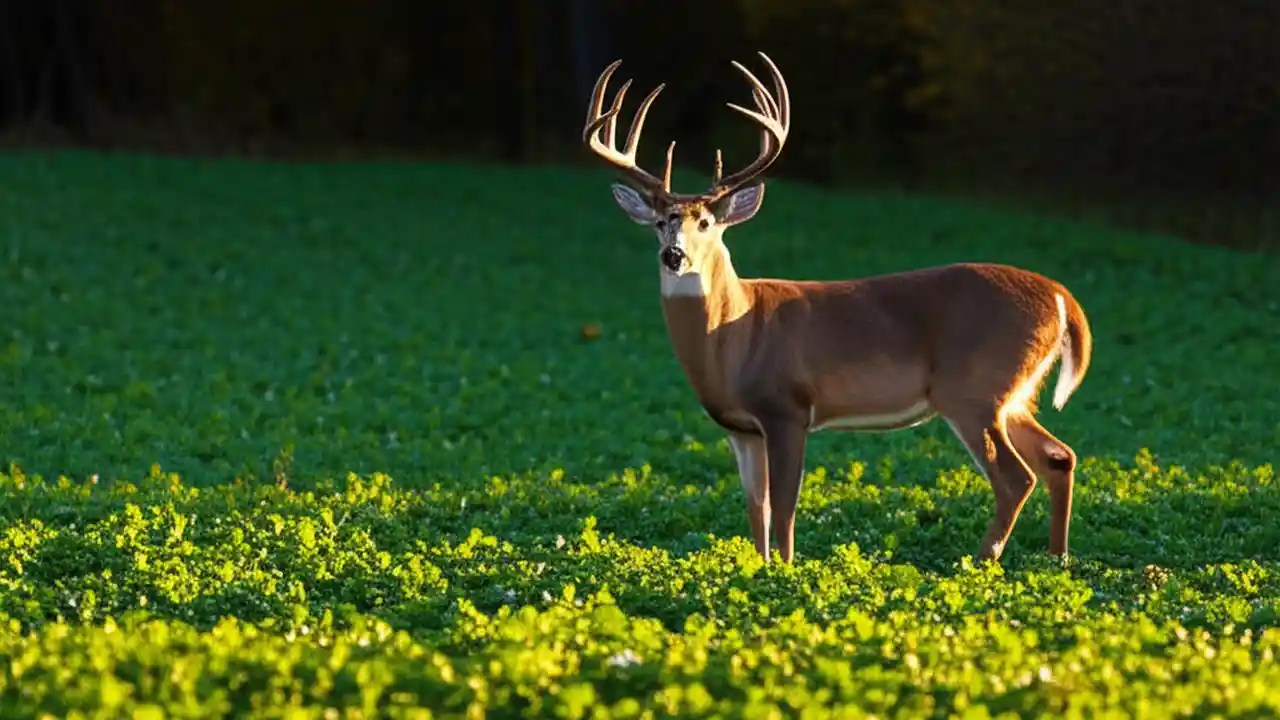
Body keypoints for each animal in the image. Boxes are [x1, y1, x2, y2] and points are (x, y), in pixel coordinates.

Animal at [581, 51, 1093, 565]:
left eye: (706, 221)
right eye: (661, 222)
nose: (674, 255)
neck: (731, 338)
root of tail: (1061, 296)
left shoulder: (786, 408)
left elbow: (785, 504)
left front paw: (786, 570)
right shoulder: (740, 429)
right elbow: (756, 507)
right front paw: (759, 567)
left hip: (973, 389)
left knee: (1015, 477)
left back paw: (977, 563)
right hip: (1013, 394)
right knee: (1058, 457)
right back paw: (1057, 559)